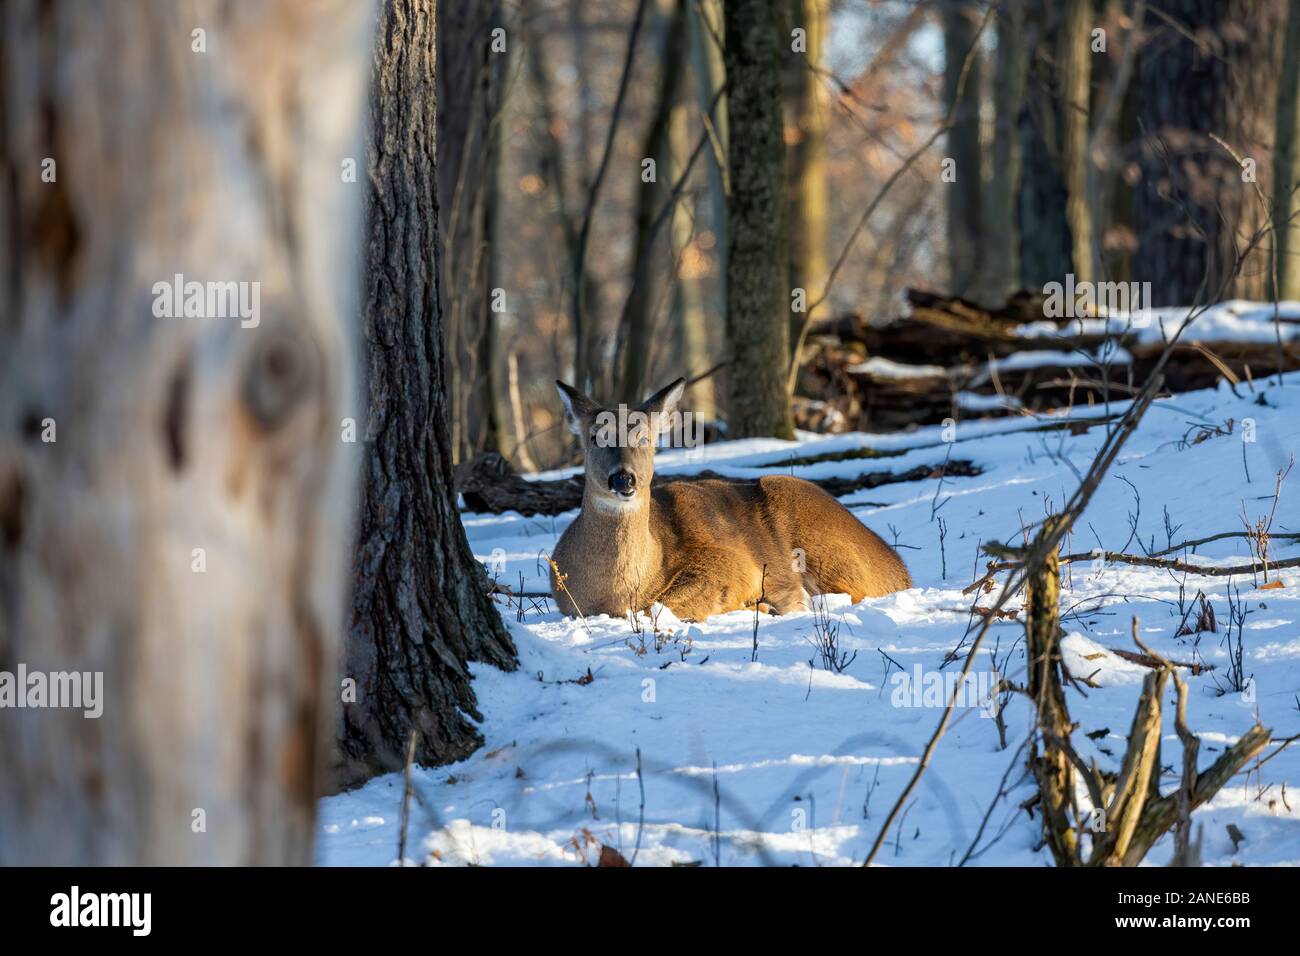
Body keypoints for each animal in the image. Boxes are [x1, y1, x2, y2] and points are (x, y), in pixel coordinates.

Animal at [548, 378, 913, 622]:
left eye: (646, 437)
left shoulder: (732, 562)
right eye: (594, 436)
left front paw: (763, 604)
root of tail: (899, 568)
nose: (623, 479)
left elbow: (655, 607)